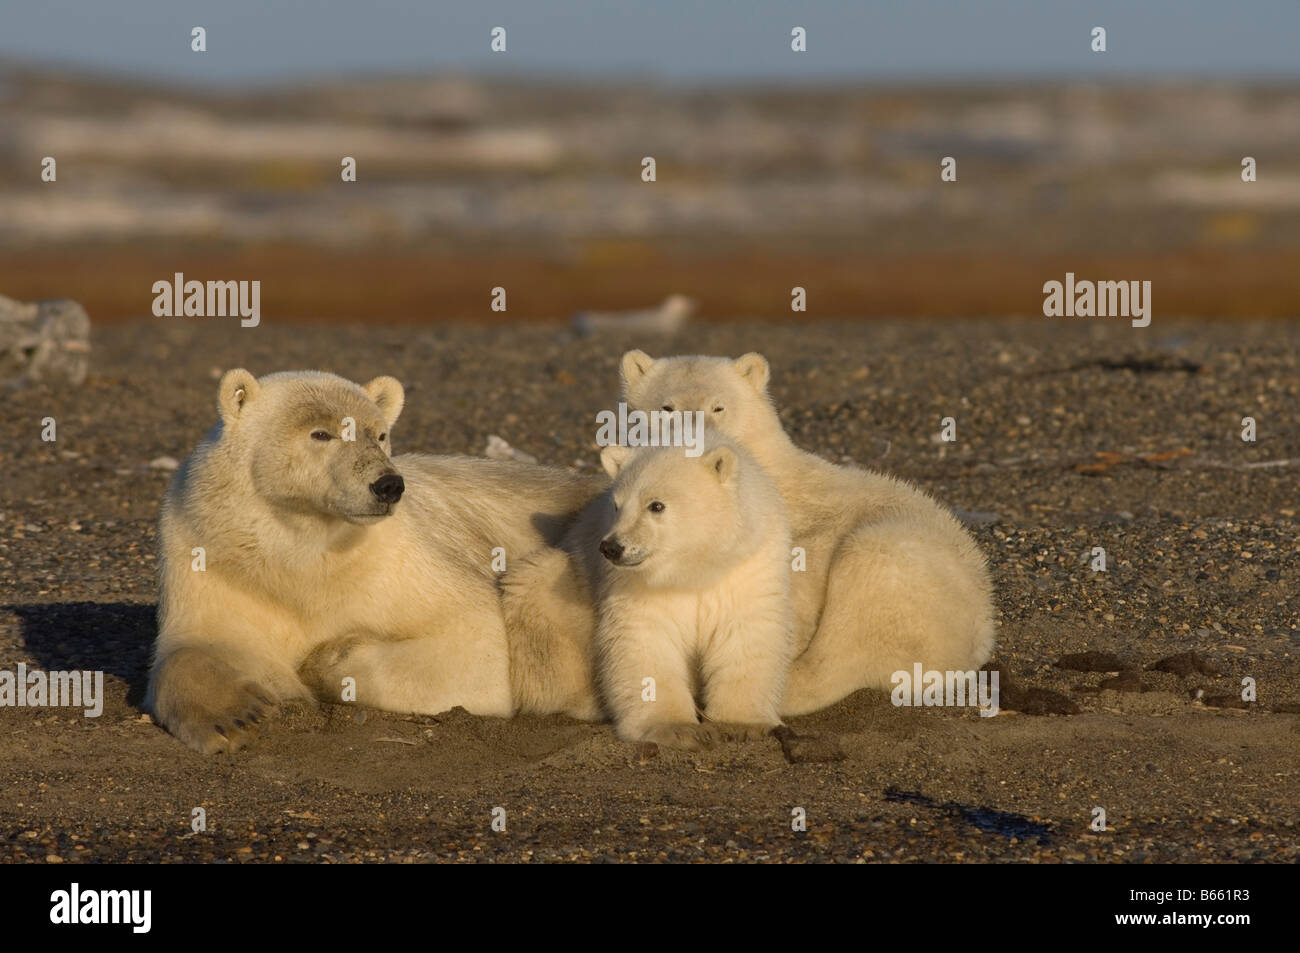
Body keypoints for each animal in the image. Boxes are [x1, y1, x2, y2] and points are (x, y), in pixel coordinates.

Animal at [146, 368, 604, 754]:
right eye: (321, 433)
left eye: (380, 434)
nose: (388, 485)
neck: (300, 553)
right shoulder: (211, 554)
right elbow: (196, 645)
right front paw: (237, 718)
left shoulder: (395, 563)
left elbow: (479, 638)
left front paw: (324, 658)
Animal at [507, 436, 794, 749]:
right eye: (616, 505)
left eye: (656, 505)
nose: (611, 547)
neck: (694, 568)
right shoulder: (636, 585)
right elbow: (646, 637)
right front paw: (677, 728)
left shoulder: (747, 564)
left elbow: (746, 630)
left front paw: (742, 725)